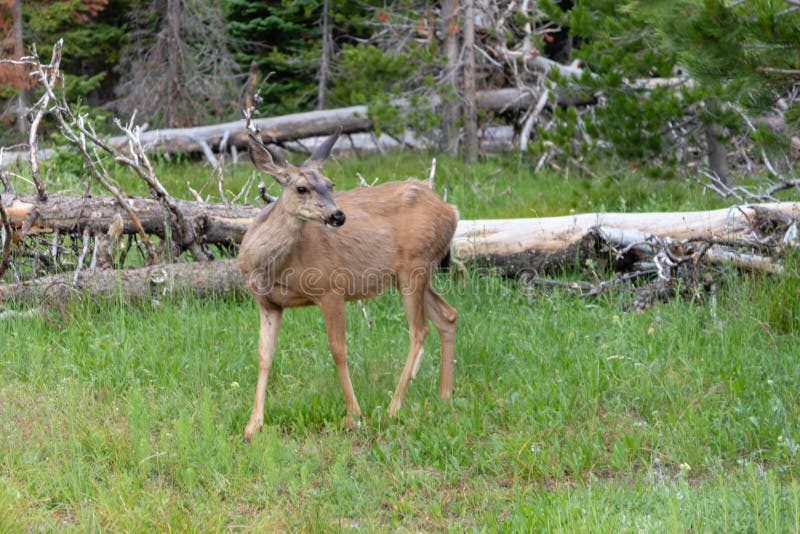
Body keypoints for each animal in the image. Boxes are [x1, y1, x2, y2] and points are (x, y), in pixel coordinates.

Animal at [238, 127, 458, 440]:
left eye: (330, 184)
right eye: (301, 188)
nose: (338, 215)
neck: (269, 266)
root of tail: (452, 211)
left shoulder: (331, 288)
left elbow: (338, 350)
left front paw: (353, 415)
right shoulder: (267, 303)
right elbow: (263, 355)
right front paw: (252, 425)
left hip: (414, 266)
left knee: (419, 330)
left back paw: (393, 407)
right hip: (412, 273)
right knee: (447, 315)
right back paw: (445, 396)